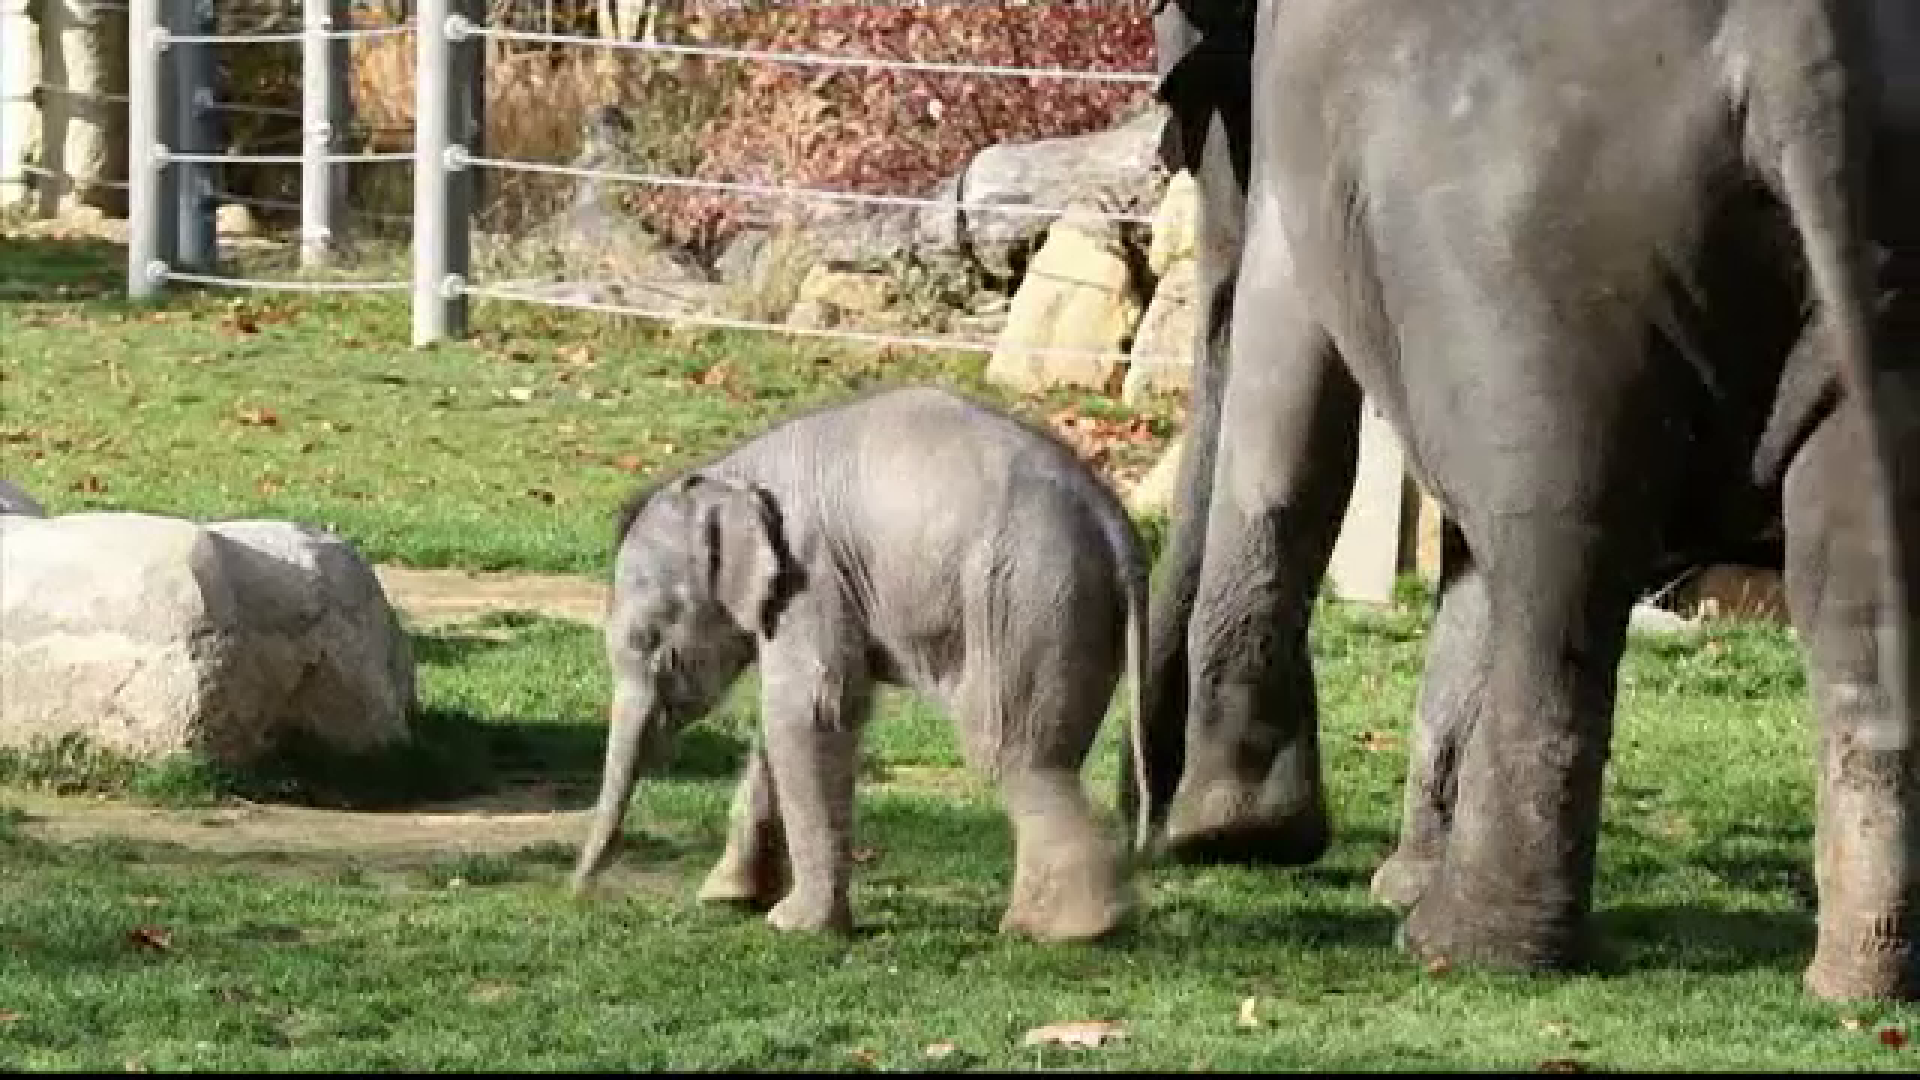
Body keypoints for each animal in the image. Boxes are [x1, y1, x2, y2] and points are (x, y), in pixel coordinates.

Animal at [569, 384, 1153, 944]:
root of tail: (1116, 530)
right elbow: (785, 724)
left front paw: (793, 926)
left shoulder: (809, 573)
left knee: (1009, 750)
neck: (735, 470)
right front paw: (727, 898)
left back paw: (1063, 931)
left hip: (1023, 599)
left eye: (647, 641)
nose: (578, 890)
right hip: (1068, 618)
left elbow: (807, 709)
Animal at [1134, 0, 1920, 1000]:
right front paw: (1372, 870)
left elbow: (1290, 408)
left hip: (1523, 255)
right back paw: (1861, 982)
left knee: (1558, 554)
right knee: (1849, 567)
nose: (1150, 820)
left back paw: (1459, 946)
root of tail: (1802, 54)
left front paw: (1235, 834)